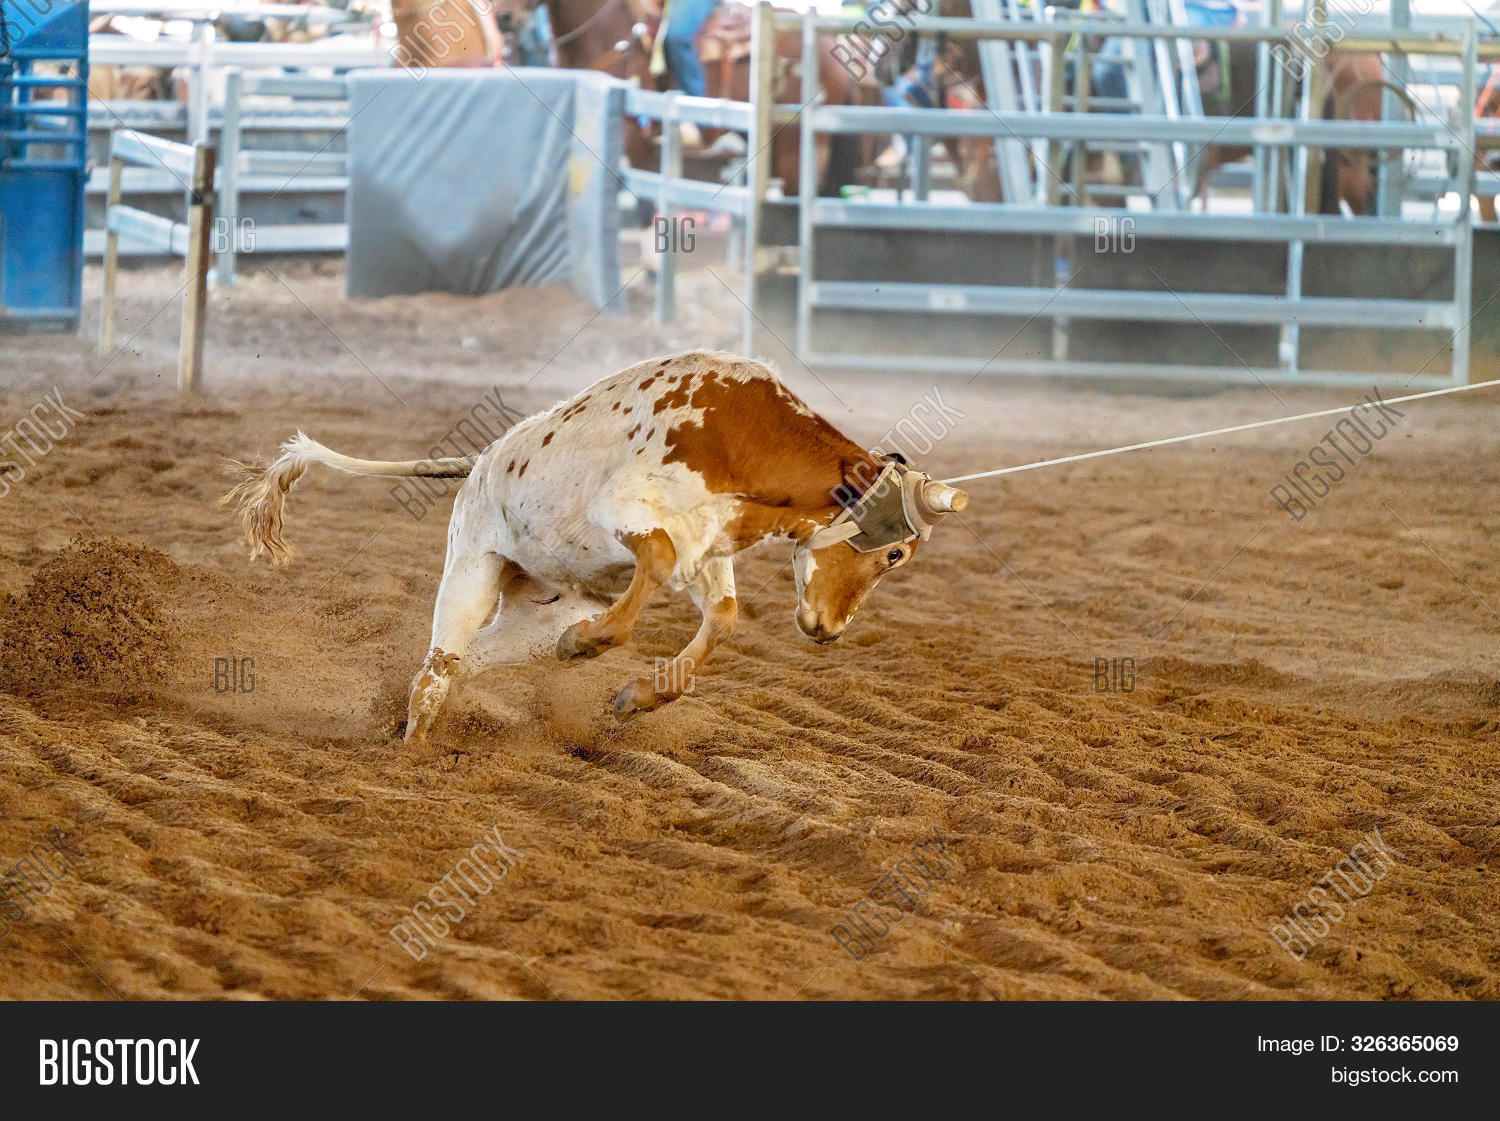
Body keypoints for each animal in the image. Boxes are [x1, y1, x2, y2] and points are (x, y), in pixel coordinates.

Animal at [223, 350, 968, 746]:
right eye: (894, 555)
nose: (831, 628)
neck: (739, 434)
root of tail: (482, 460)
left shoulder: (709, 552)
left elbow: (723, 616)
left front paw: (640, 697)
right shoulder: (629, 512)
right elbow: (655, 563)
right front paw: (590, 647)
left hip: (544, 605)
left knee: (471, 660)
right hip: (472, 567)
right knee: (438, 664)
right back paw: (416, 739)